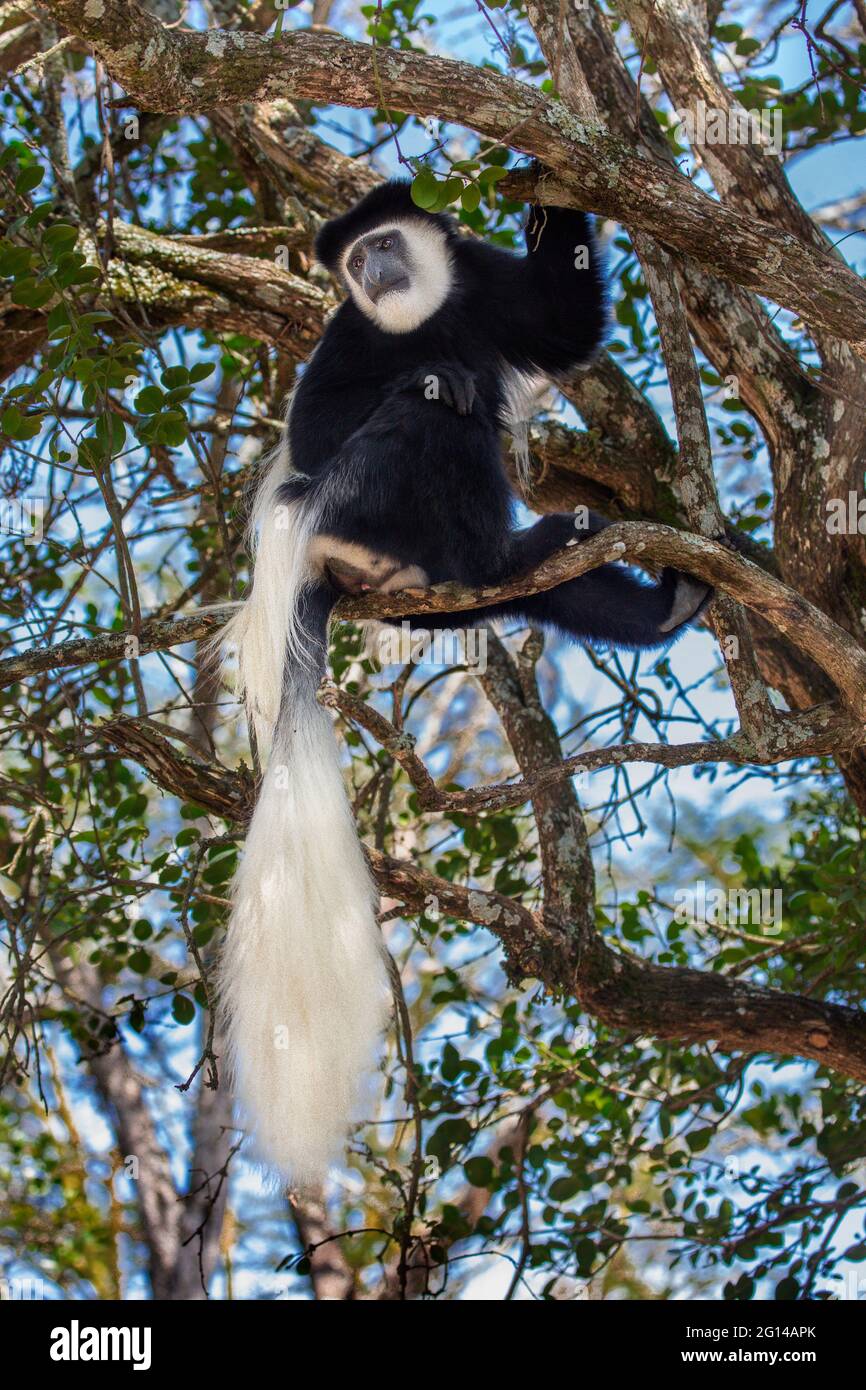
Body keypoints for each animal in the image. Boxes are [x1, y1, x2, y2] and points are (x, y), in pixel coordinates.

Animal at [218, 176, 711, 1184]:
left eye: (384, 243)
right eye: (355, 259)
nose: (371, 266)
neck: (420, 318)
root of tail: (318, 562)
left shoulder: (482, 289)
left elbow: (563, 323)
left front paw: (554, 178)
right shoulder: (348, 337)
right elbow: (323, 423)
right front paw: (434, 374)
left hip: (435, 595)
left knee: (542, 572)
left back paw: (631, 598)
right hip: (357, 500)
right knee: (439, 417)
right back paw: (486, 518)